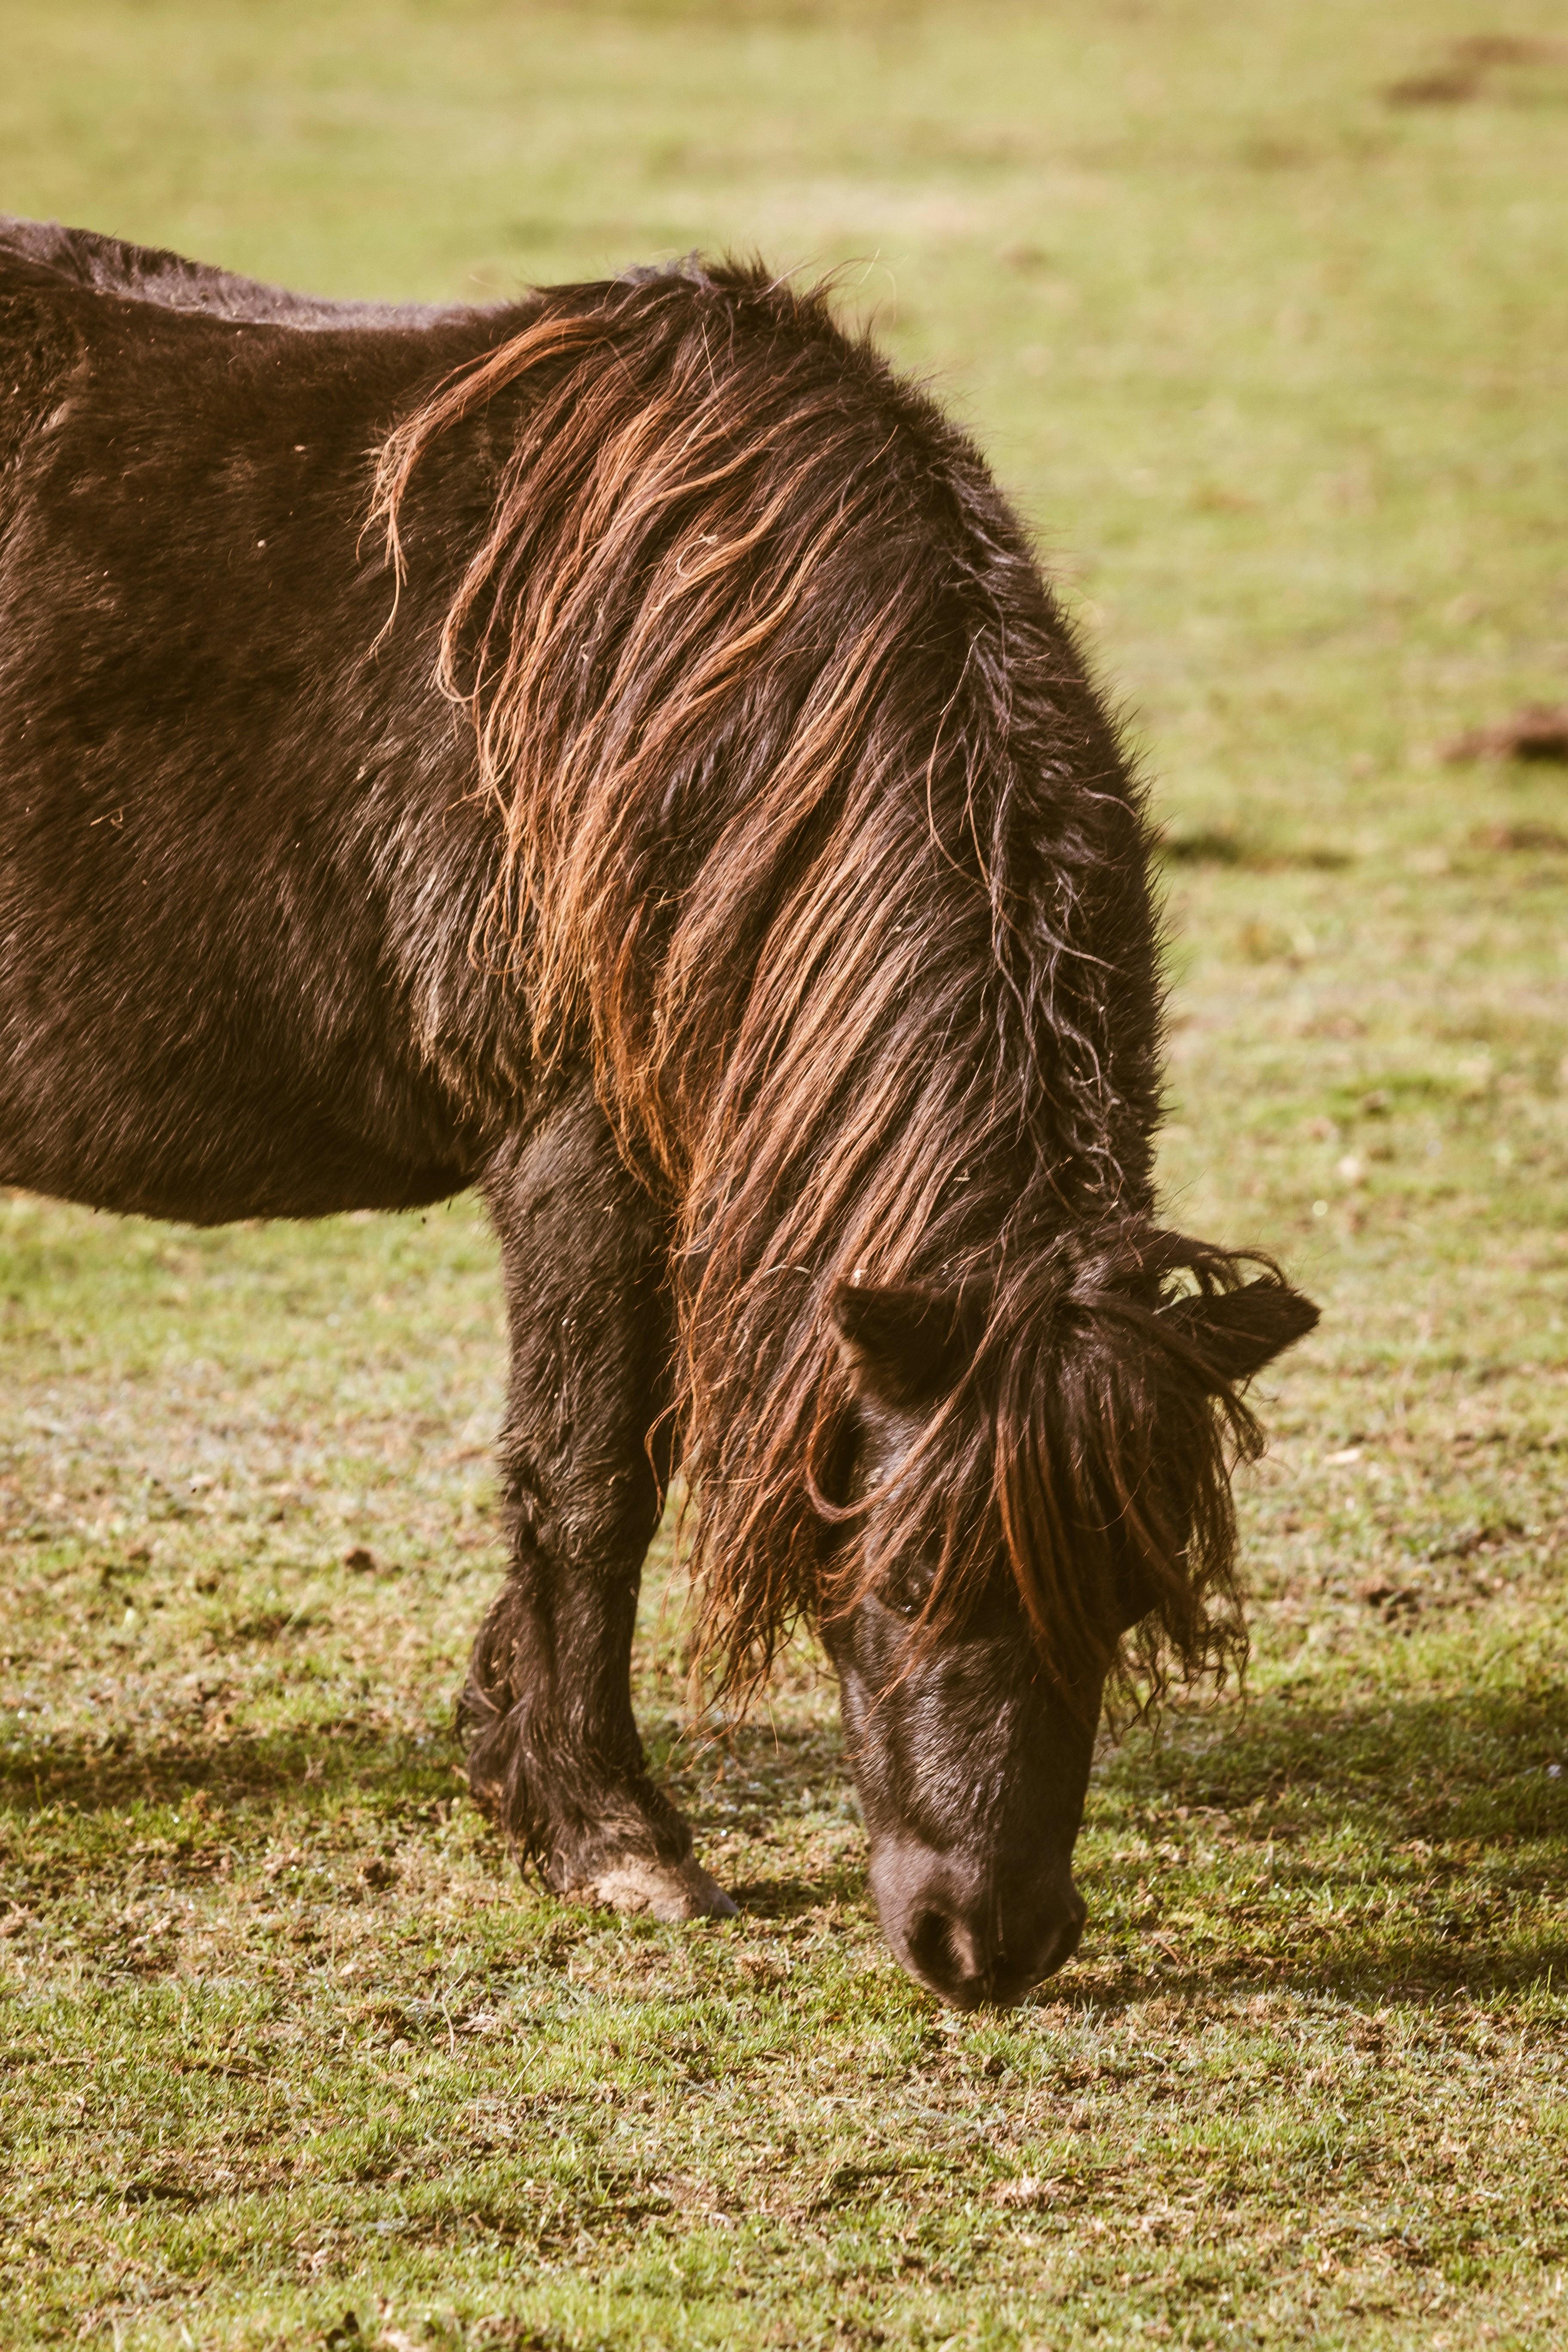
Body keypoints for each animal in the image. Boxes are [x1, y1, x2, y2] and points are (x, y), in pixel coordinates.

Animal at [0, 217, 1318, 2009]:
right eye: (899, 1568)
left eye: (1123, 1590)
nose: (988, 1943)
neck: (707, 702)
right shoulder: (578, 1153)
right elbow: (588, 1481)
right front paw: (606, 1829)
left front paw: (508, 1753)